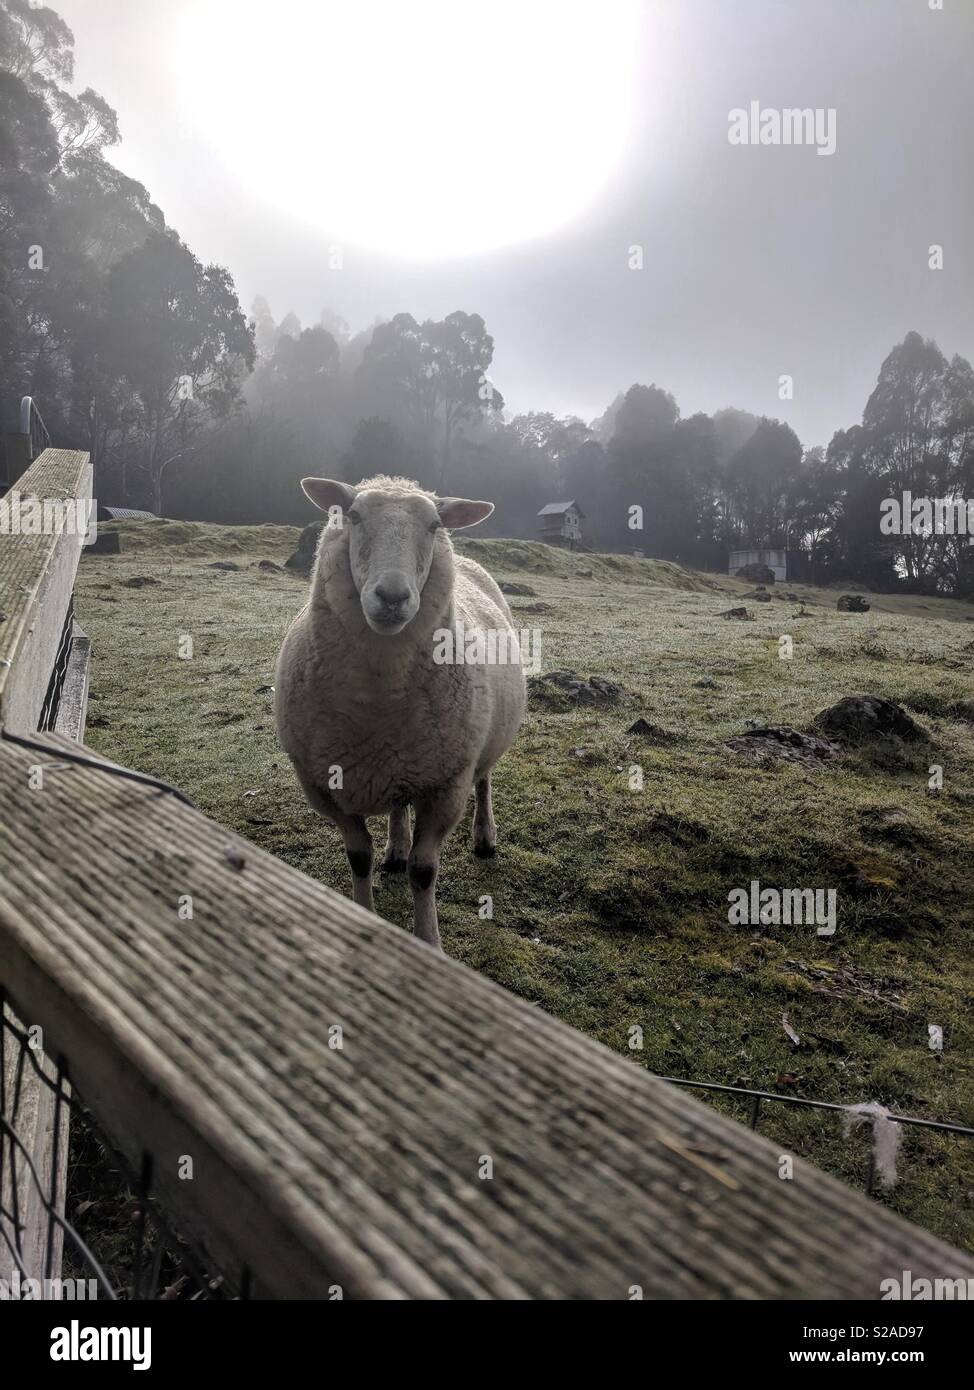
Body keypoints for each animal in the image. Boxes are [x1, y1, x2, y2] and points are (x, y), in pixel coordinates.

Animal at [275, 474, 526, 950]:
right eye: (353, 515)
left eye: (434, 525)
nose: (392, 597)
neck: (379, 704)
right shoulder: (324, 787)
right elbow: (358, 858)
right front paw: (366, 911)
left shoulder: (446, 787)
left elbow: (423, 871)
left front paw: (429, 942)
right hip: (404, 762)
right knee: (397, 804)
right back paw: (395, 846)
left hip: (480, 741)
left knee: (484, 780)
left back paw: (485, 837)